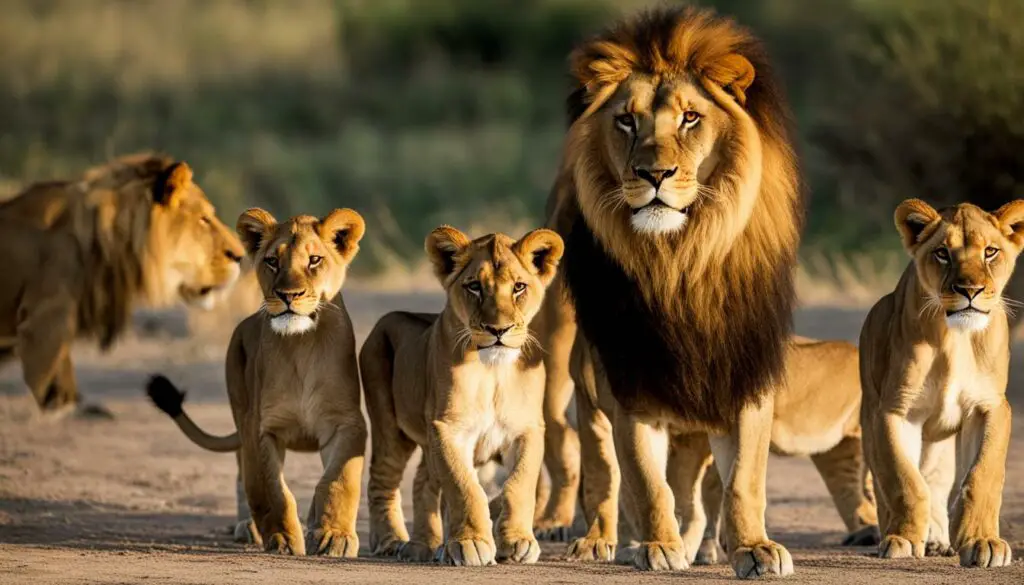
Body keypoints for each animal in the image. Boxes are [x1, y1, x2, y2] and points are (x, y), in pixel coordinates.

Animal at [146, 207, 368, 557]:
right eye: (272, 261)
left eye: (315, 260)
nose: (288, 295)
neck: (301, 345)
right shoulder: (260, 427)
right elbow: (271, 489)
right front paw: (283, 538)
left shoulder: (347, 422)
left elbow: (339, 479)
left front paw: (334, 536)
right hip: (240, 406)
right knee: (243, 473)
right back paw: (249, 527)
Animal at [359, 226, 563, 566]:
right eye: (475, 287)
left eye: (519, 287)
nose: (498, 330)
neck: (494, 371)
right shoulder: (448, 428)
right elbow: (464, 486)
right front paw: (471, 543)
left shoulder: (528, 429)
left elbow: (519, 484)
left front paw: (517, 541)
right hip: (391, 428)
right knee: (383, 480)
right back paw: (393, 541)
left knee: (423, 481)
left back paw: (425, 545)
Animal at [535, 7, 804, 577]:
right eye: (626, 120)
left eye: (690, 118)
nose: (653, 173)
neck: (681, 262)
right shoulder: (628, 382)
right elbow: (641, 477)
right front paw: (658, 546)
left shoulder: (746, 372)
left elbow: (744, 478)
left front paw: (754, 548)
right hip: (567, 374)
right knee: (591, 461)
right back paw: (602, 538)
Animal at [859, 199, 1022, 568]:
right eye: (943, 254)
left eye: (990, 252)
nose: (970, 291)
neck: (955, 338)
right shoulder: (895, 410)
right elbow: (904, 480)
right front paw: (903, 538)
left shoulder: (989, 406)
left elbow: (982, 474)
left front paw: (982, 542)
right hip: (870, 420)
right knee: (891, 482)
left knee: (936, 480)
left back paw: (937, 541)